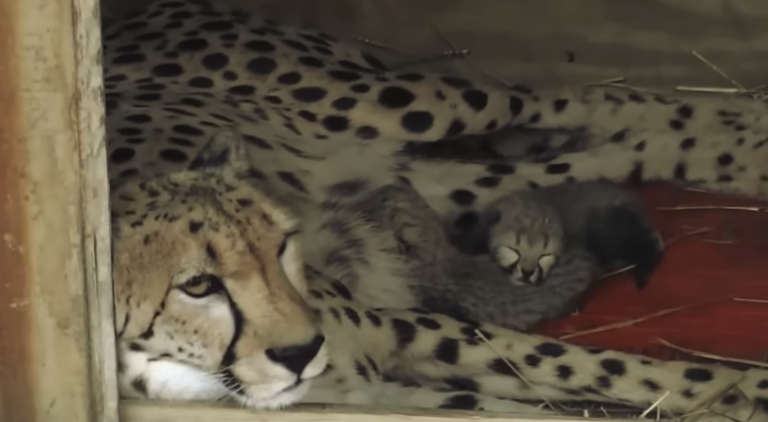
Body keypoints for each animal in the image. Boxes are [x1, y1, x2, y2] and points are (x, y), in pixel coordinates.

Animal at [106, 0, 768, 420]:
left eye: (282, 246)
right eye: (197, 285)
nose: (302, 351)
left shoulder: (409, 328)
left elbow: (605, 366)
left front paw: (751, 387)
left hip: (391, 106)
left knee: (575, 101)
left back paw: (746, 133)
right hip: (398, 168)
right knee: (585, 152)